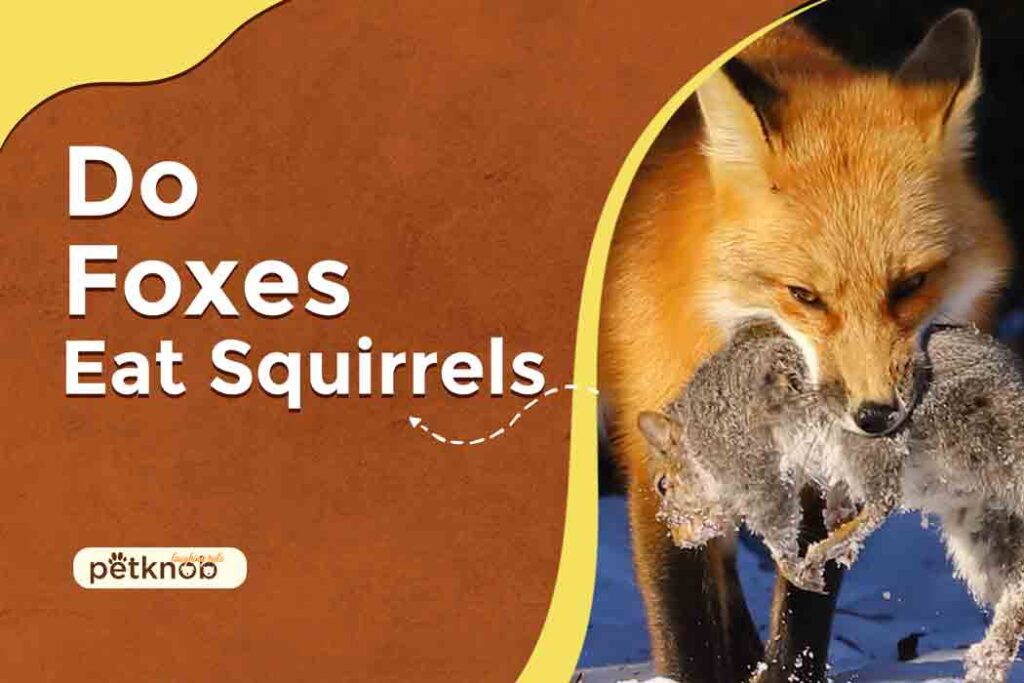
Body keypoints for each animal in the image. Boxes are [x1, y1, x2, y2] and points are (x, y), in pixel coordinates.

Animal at [598, 8, 1011, 683]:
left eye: (910, 285)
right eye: (804, 295)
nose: (875, 414)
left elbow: (804, 610)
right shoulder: (654, 442)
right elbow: (687, 628)